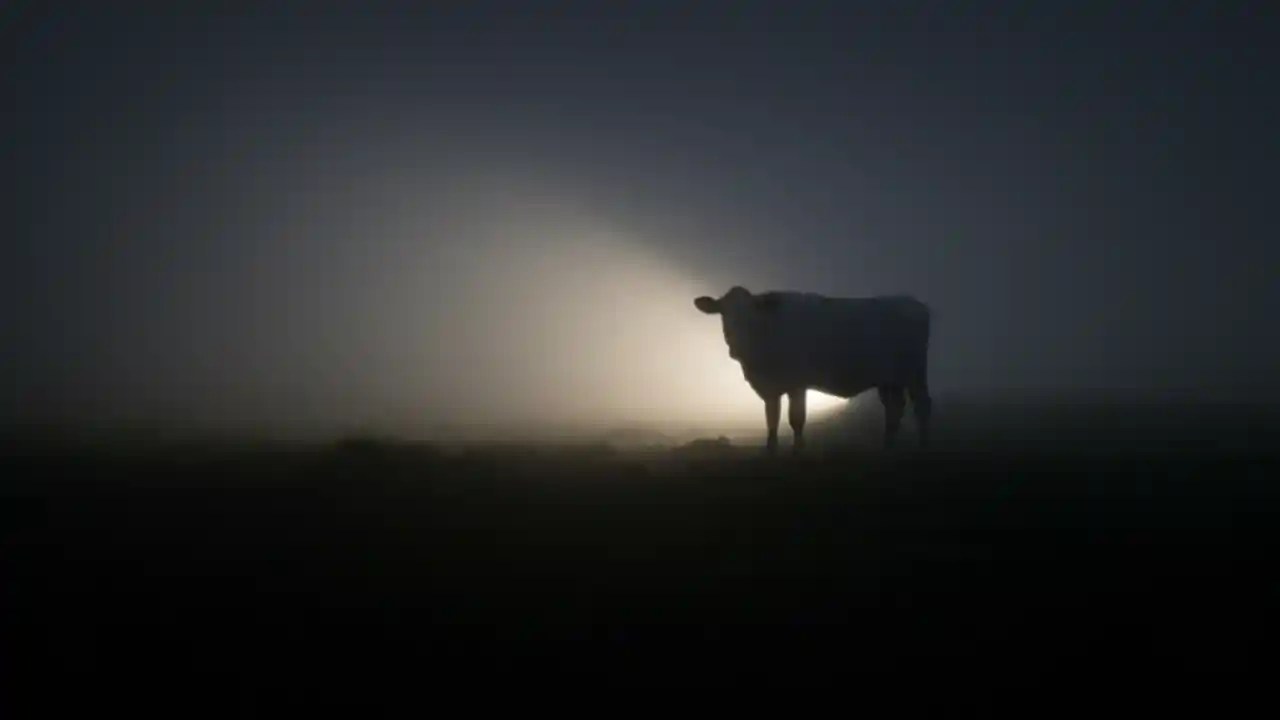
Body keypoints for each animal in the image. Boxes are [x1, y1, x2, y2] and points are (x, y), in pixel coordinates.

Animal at [694, 286, 932, 454]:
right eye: (723, 313)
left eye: (750, 314)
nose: (734, 342)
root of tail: (913, 303)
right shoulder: (771, 387)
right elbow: (771, 419)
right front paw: (771, 451)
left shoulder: (797, 383)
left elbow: (796, 419)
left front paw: (798, 451)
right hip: (889, 379)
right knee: (894, 408)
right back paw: (887, 447)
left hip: (915, 373)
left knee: (921, 406)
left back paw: (922, 447)